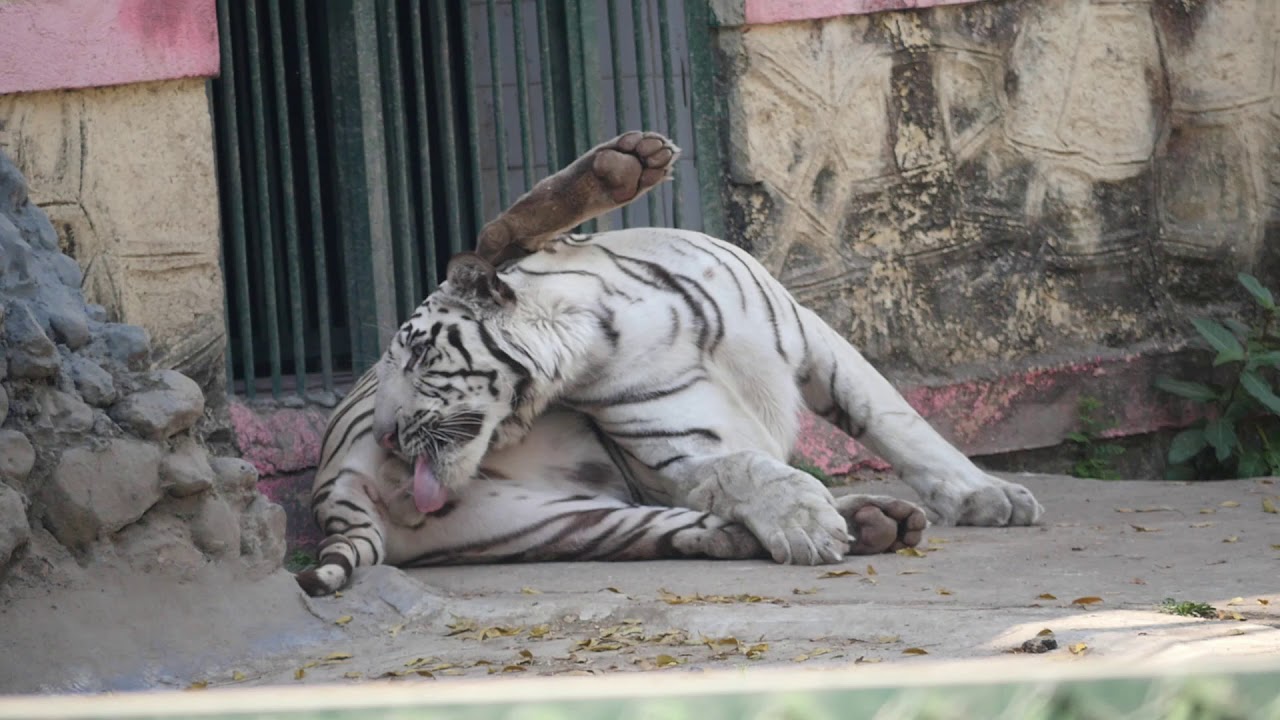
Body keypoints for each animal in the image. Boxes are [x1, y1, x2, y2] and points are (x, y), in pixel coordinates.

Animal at [295, 131, 1044, 597]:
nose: (390, 437)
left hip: (568, 521)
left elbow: (897, 420)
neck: (599, 330)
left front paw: (987, 496)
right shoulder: (681, 452)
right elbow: (744, 468)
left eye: (419, 355)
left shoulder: (813, 337)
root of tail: (333, 492)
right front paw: (802, 521)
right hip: (574, 522)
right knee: (700, 529)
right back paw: (857, 524)